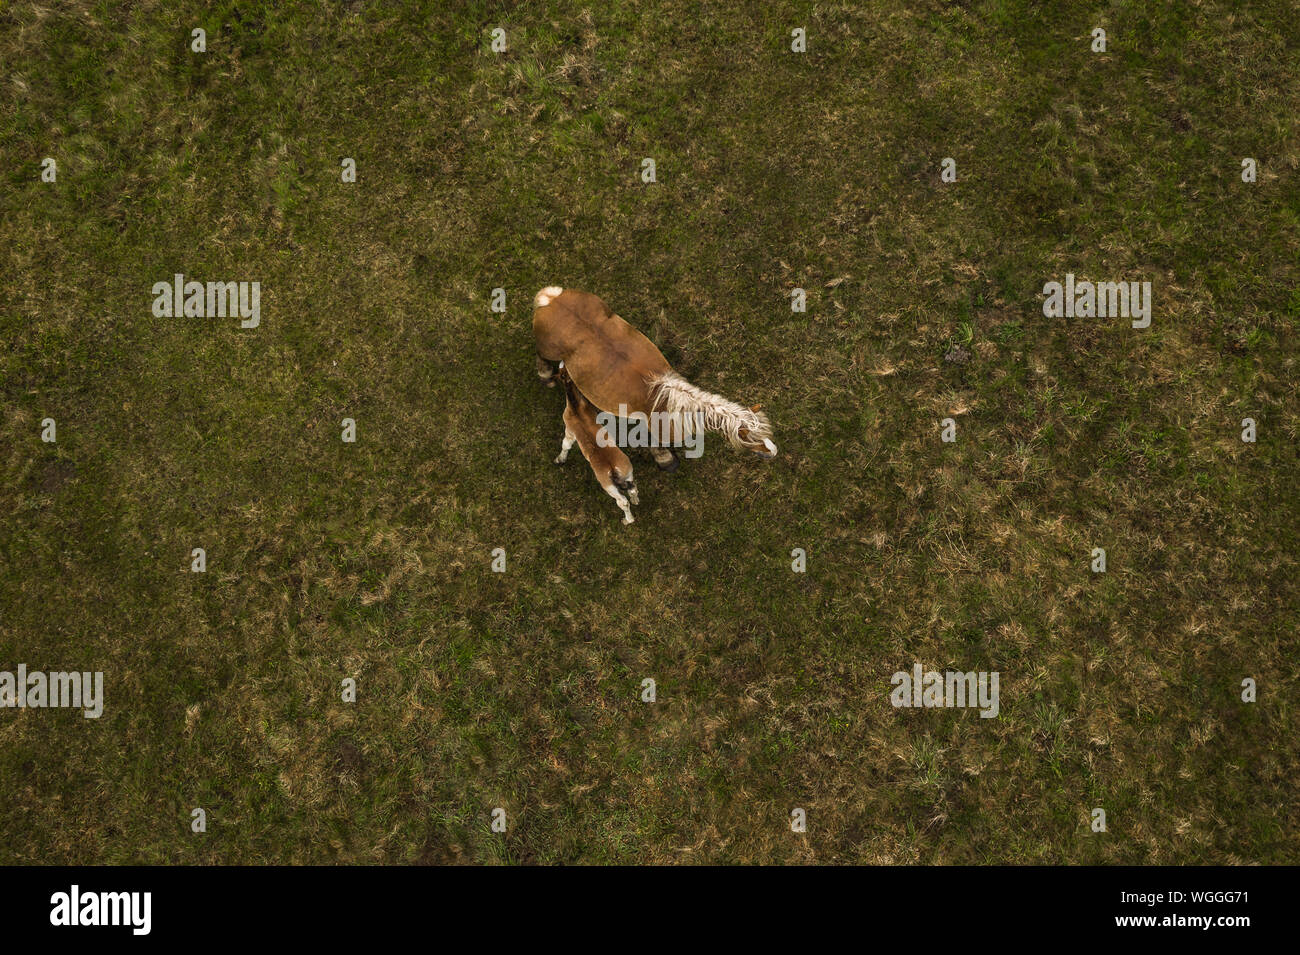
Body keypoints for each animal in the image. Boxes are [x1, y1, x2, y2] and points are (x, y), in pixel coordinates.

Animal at [532, 287, 778, 470]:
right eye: (751, 440)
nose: (773, 451)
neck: (673, 402)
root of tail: (551, 298)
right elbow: (657, 446)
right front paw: (666, 462)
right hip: (549, 350)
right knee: (541, 356)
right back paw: (546, 376)